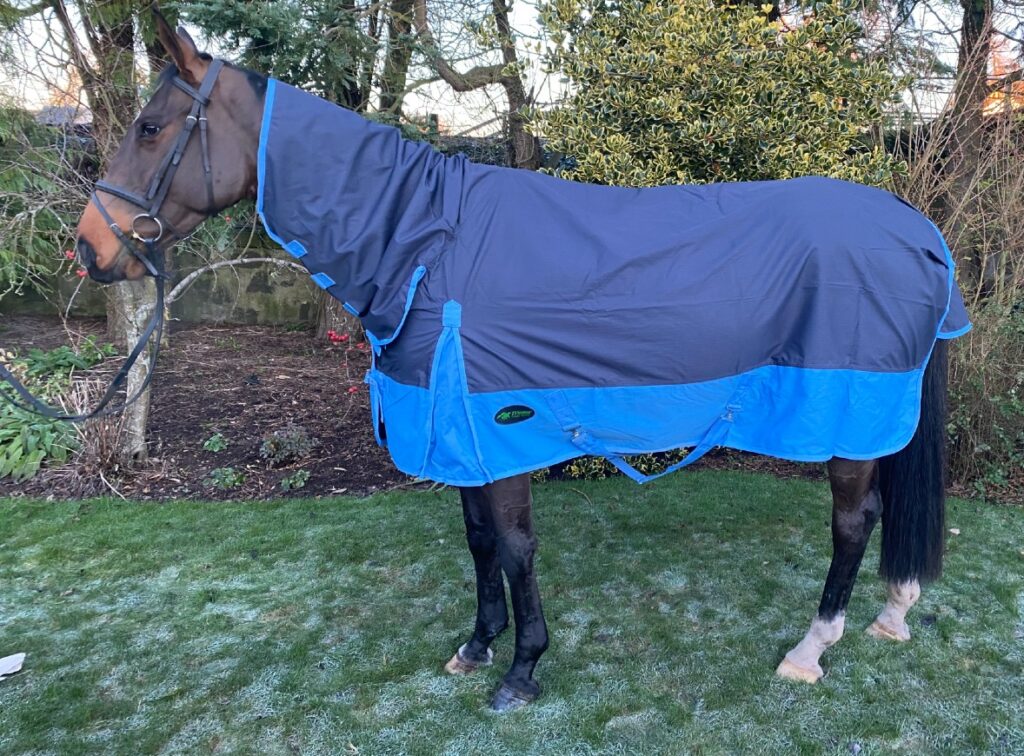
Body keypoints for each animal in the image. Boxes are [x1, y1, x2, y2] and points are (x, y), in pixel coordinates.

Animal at [74, 13, 970, 712]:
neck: (426, 242)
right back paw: (894, 610)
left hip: (851, 412)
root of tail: (917, 229)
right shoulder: (457, 433)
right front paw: (477, 646)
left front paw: (523, 669)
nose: (89, 249)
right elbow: (476, 543)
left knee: (855, 520)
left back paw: (811, 648)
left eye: (150, 127)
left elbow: (512, 547)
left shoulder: (497, 427)